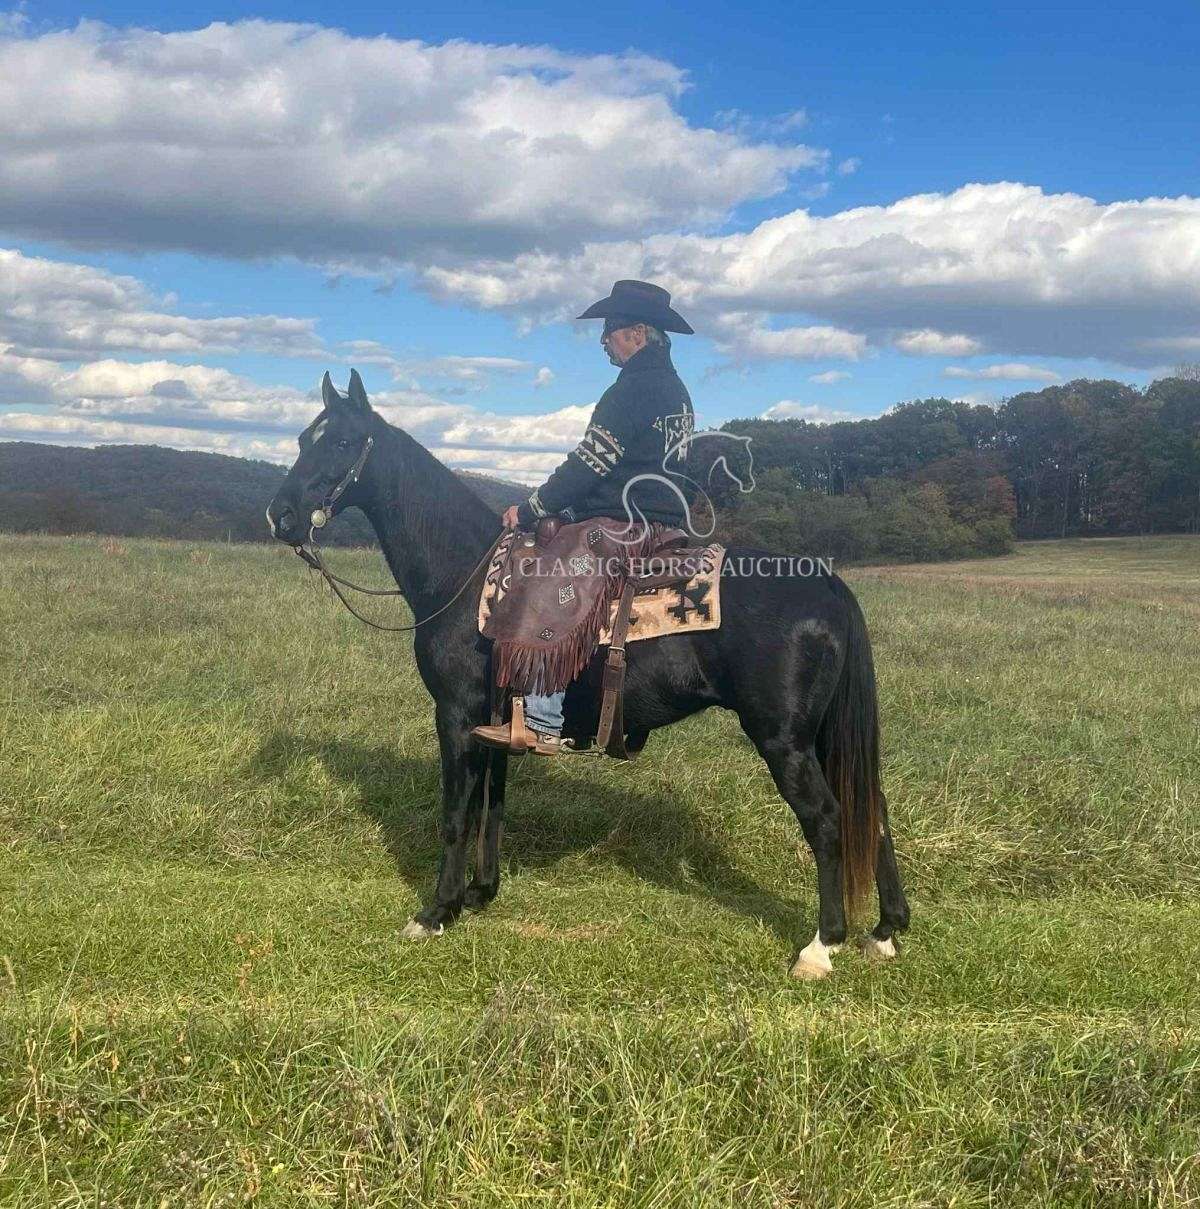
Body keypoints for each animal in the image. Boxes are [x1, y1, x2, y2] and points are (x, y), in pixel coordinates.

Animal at [266, 370, 909, 979]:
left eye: (342, 441)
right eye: (301, 440)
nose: (281, 516)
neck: (464, 578)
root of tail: (826, 583)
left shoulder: (455, 716)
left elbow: (454, 814)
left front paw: (435, 912)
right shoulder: (495, 724)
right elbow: (491, 806)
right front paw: (479, 894)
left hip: (783, 738)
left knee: (828, 820)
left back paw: (822, 946)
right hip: (823, 735)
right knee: (872, 809)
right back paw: (886, 931)